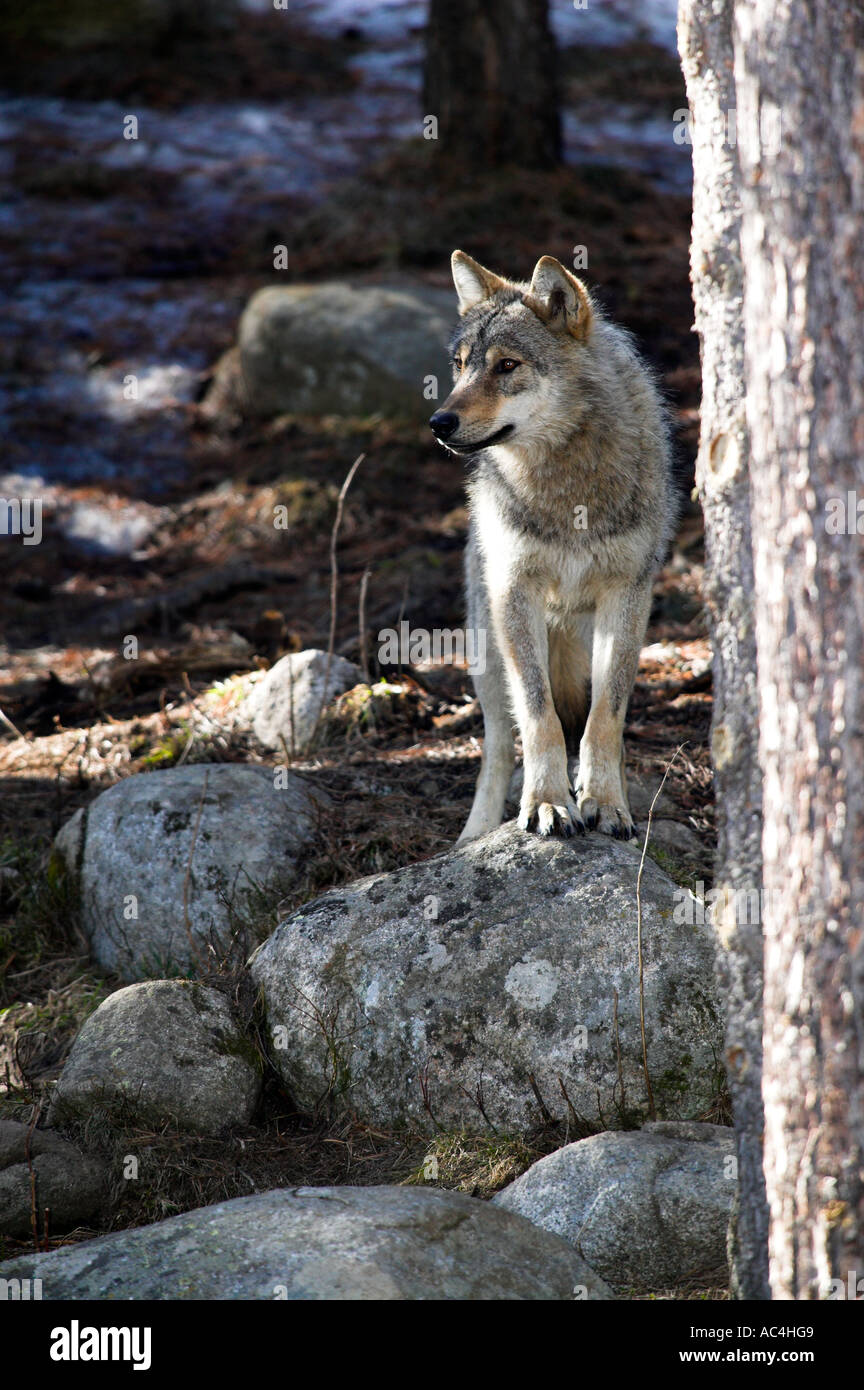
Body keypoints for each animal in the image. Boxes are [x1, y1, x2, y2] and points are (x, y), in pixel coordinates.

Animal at [429, 251, 675, 843]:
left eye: (507, 366)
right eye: (460, 365)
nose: (438, 422)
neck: (567, 486)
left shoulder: (627, 593)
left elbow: (605, 718)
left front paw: (604, 803)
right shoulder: (516, 592)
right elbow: (539, 720)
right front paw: (547, 803)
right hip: (488, 653)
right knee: (498, 746)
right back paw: (475, 834)